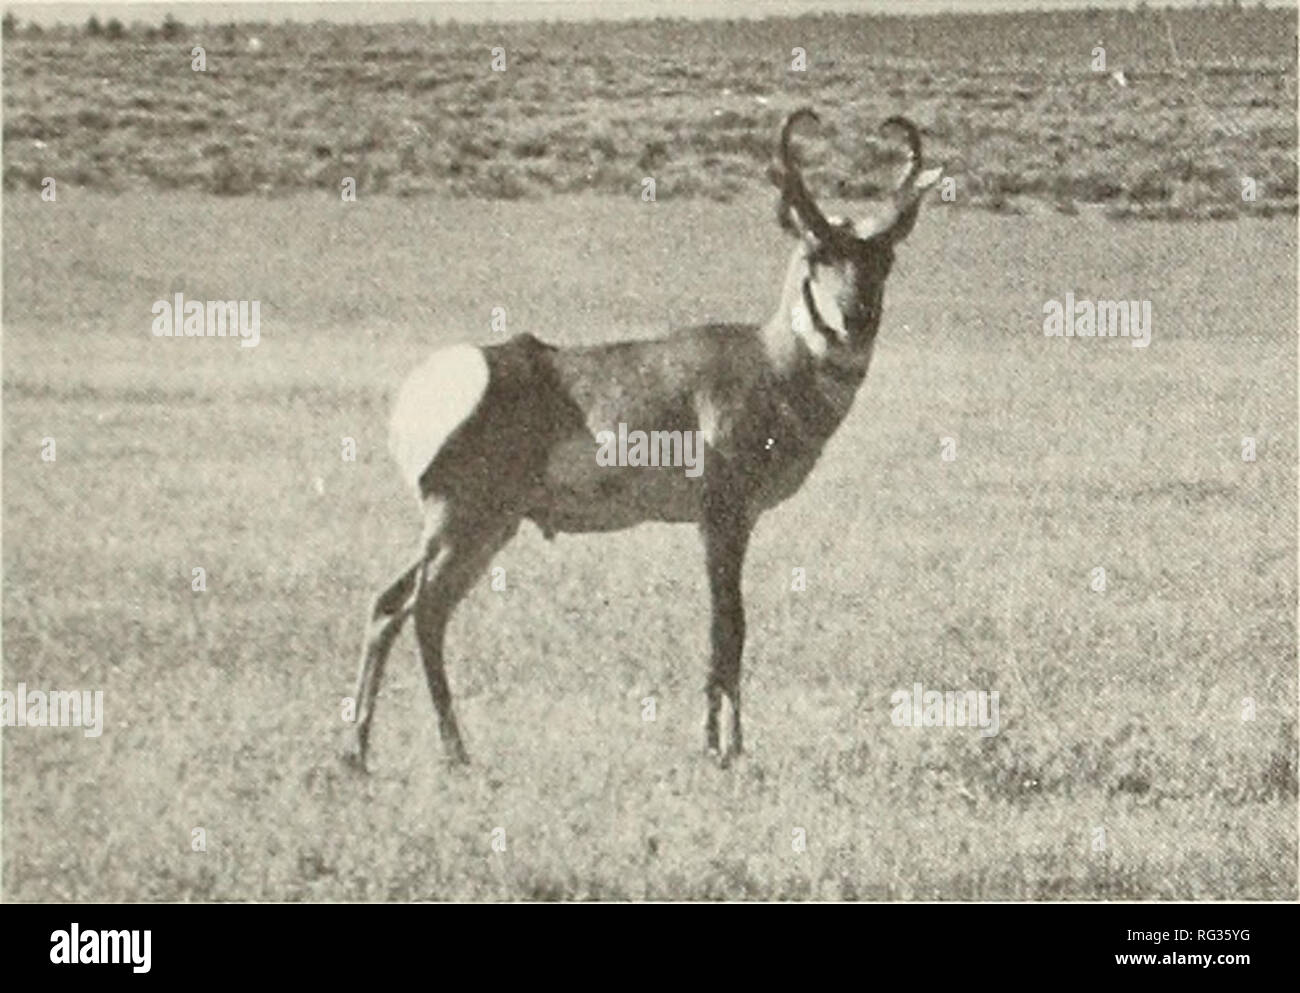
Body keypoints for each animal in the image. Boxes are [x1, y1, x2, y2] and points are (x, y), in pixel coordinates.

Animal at [344, 108, 942, 771]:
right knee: (424, 610)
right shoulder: (721, 517)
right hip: (465, 523)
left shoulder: (734, 521)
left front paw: (728, 744)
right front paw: (721, 748)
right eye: (816, 252)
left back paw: (357, 752)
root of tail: (435, 384)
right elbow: (726, 627)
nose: (856, 320)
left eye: (885, 258)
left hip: (481, 527)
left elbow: (732, 629)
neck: (770, 361)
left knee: (388, 604)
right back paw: (455, 752)